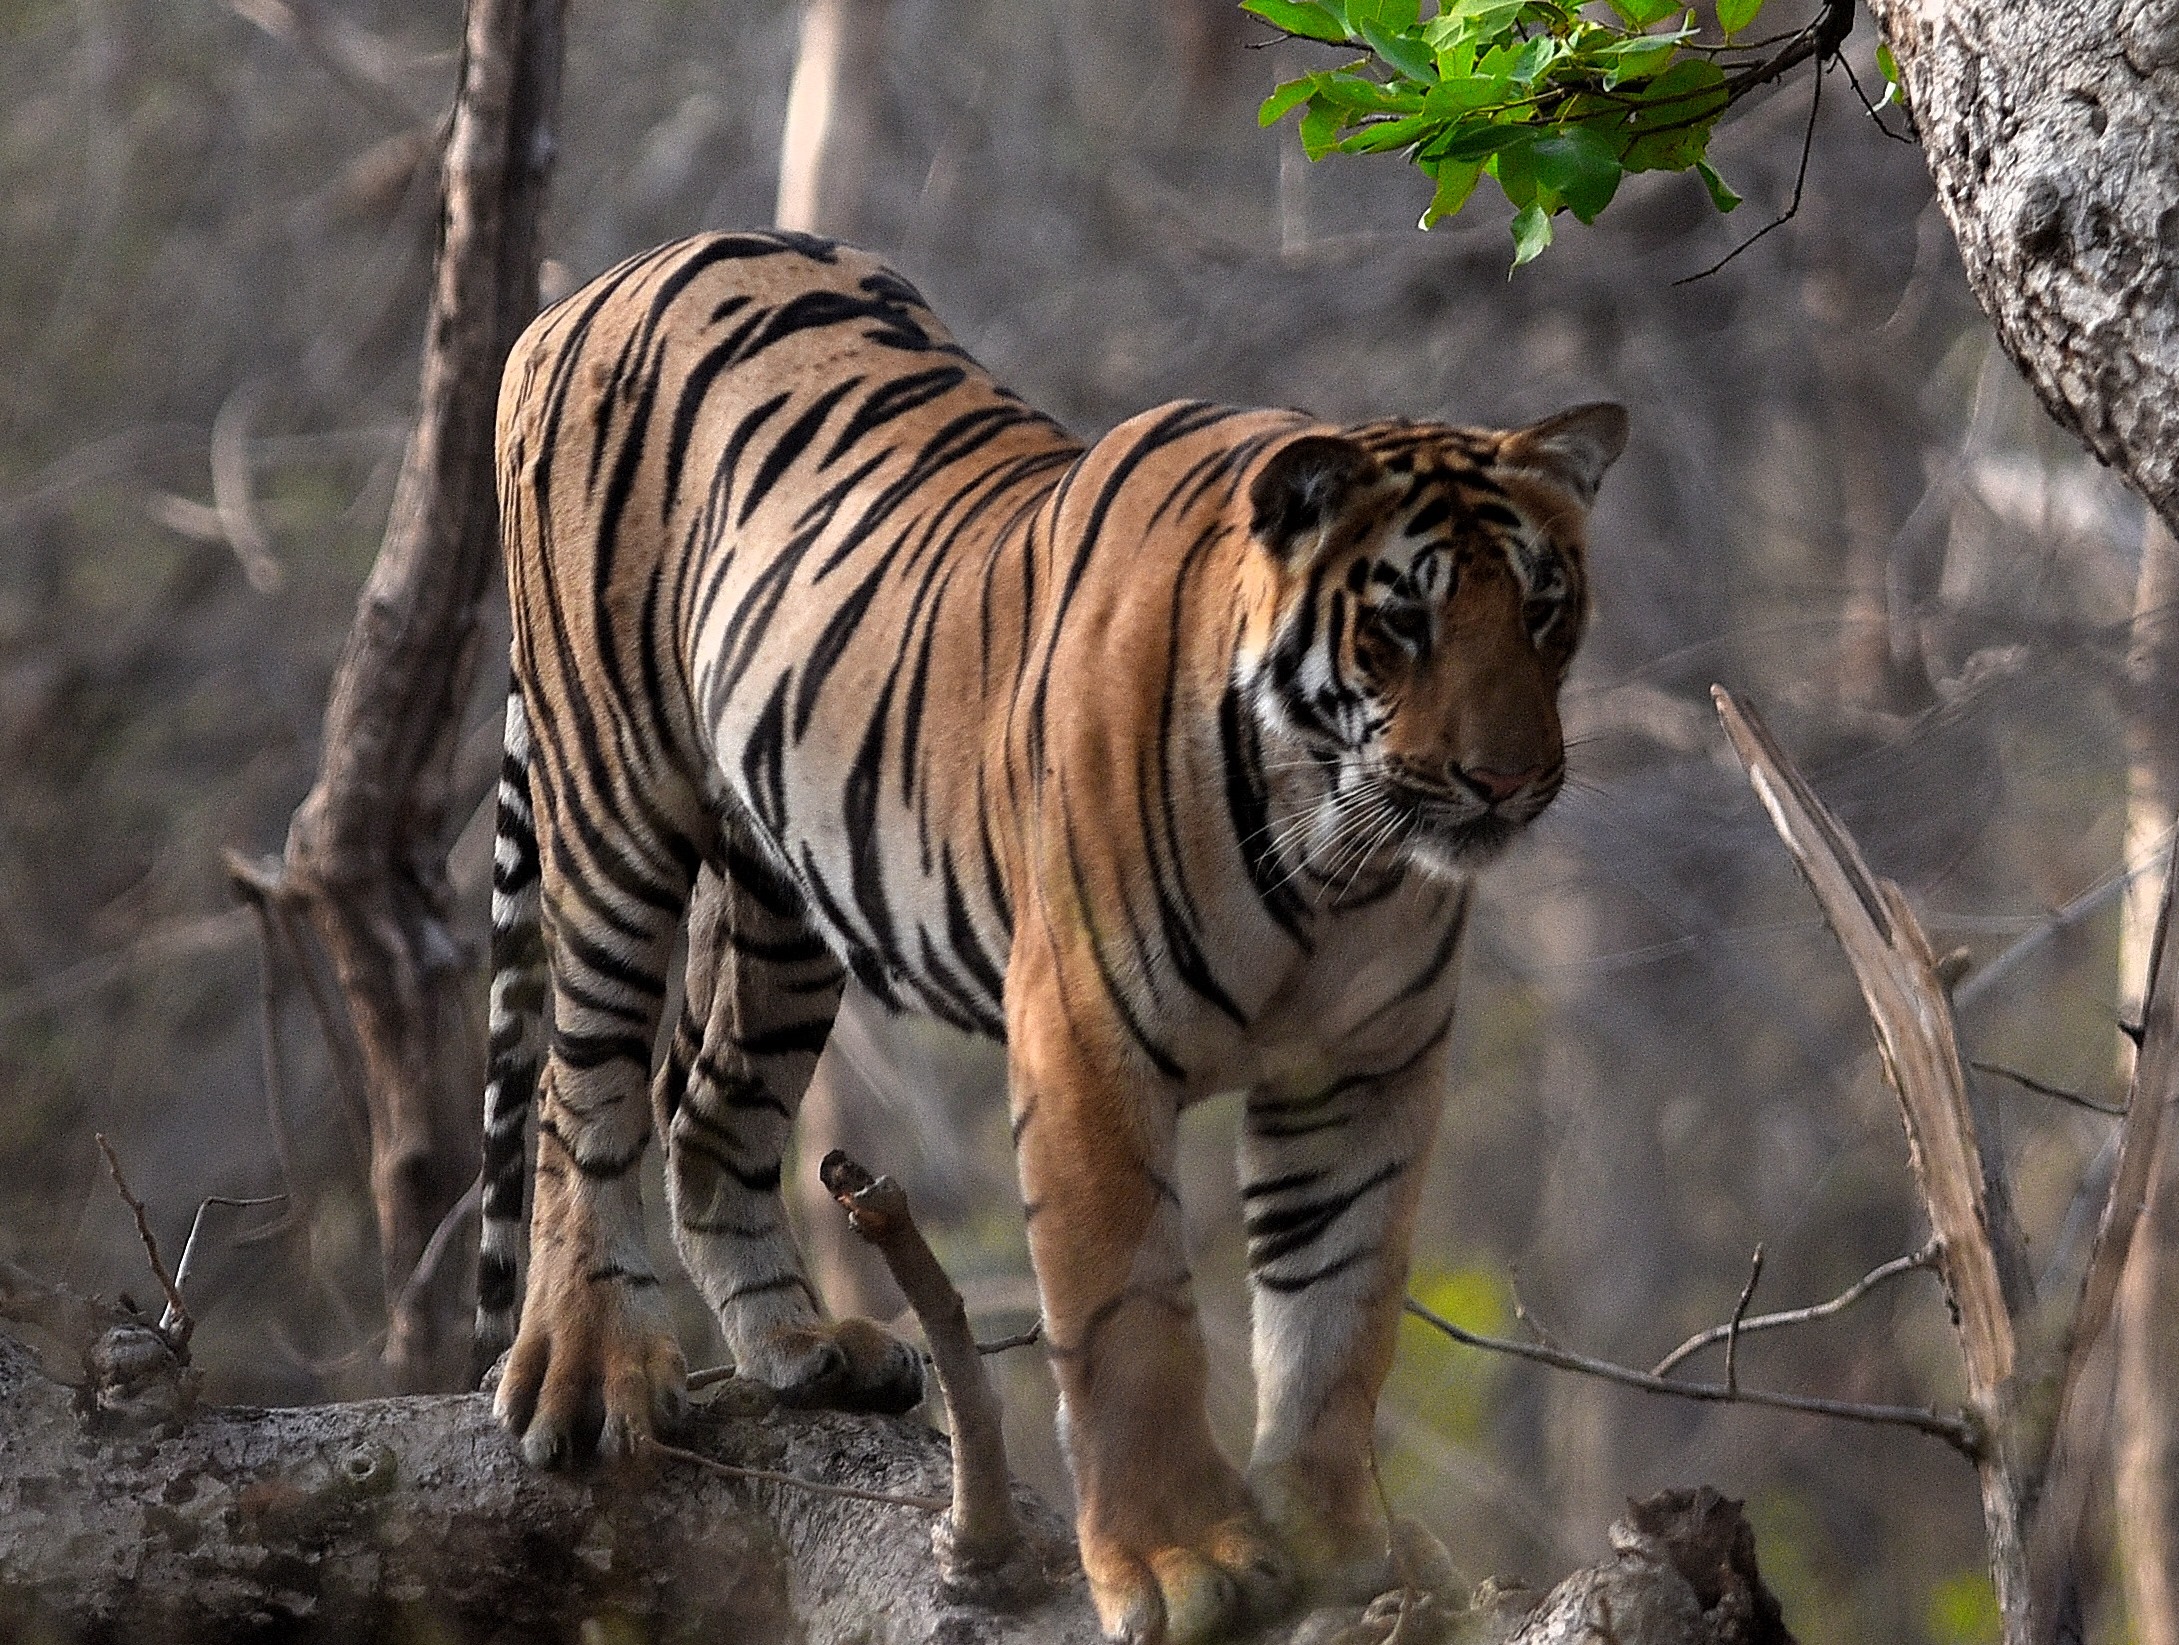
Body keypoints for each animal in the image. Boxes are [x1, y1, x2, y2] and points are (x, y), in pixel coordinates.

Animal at [473, 228, 1623, 1644]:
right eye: (1400, 621)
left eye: (1542, 611)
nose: (1507, 781)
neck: (1336, 854)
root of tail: (613, 274)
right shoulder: (1085, 1040)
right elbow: (1130, 1317)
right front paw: (1184, 1566)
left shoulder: (1365, 1069)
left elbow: (1337, 1312)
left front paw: (1343, 1544)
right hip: (613, 802)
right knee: (579, 1088)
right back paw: (590, 1376)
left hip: (784, 898)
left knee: (709, 1106)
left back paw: (803, 1353)